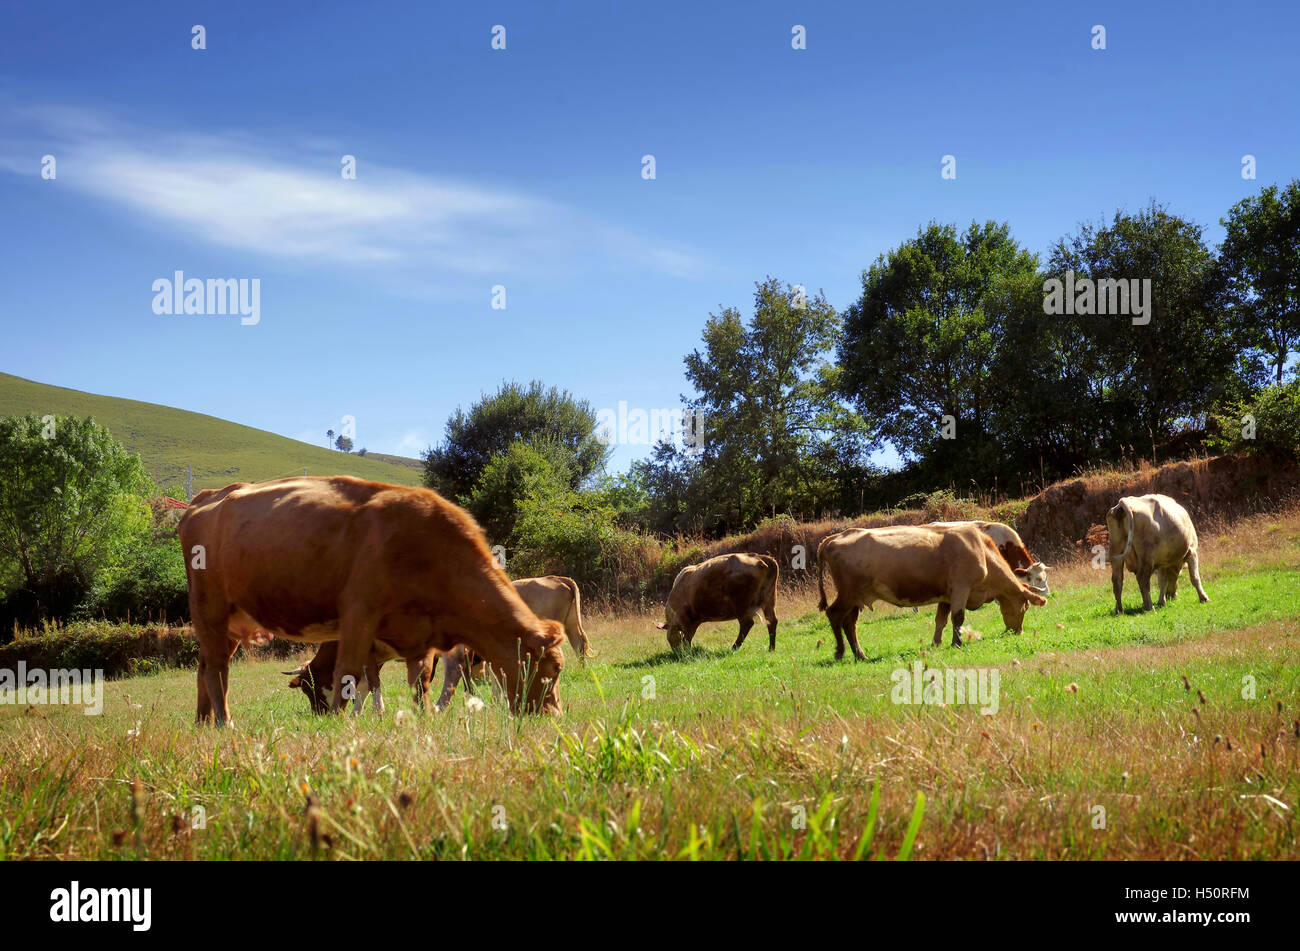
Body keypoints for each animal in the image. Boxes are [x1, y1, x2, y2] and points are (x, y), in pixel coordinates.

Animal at [177, 475, 565, 725]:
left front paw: (422, 715)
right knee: (216, 669)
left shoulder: (422, 635)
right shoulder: (359, 615)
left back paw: (203, 722)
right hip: (209, 609)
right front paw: (339, 722)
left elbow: (419, 681)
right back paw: (224, 723)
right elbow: (349, 674)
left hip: (230, 623)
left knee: (204, 667)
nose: (556, 715)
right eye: (554, 669)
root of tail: (208, 496)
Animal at [817, 523, 1048, 657]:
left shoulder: (947, 594)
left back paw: (860, 654)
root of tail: (832, 539)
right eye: (1026, 606)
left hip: (857, 598)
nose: (1018, 631)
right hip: (848, 594)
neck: (982, 551)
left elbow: (941, 620)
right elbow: (958, 618)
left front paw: (936, 643)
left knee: (849, 623)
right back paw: (840, 652)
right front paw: (957, 643)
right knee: (835, 614)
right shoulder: (961, 588)